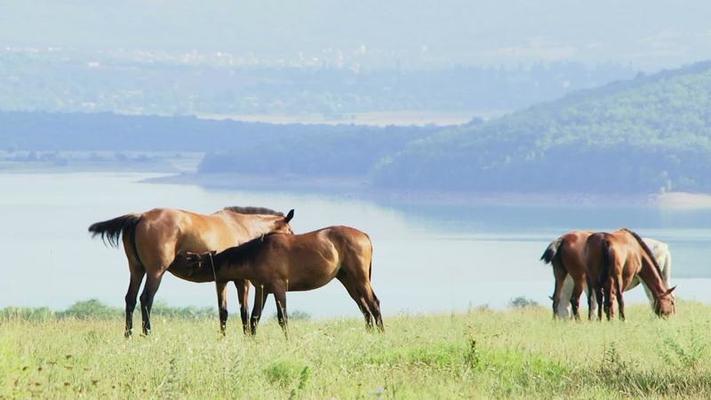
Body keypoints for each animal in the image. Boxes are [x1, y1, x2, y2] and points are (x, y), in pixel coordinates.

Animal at [88, 207, 294, 337]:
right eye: (290, 230)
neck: (241, 227)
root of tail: (140, 217)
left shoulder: (221, 281)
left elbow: (223, 311)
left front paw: (223, 337)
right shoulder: (242, 281)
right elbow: (244, 311)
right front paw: (246, 336)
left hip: (137, 269)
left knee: (130, 299)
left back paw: (128, 334)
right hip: (156, 272)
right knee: (146, 299)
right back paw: (147, 333)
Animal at [183, 225, 383, 337]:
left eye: (195, 264)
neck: (257, 253)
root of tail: (364, 235)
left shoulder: (279, 287)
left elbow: (283, 319)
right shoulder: (262, 289)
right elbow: (254, 317)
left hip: (360, 279)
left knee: (373, 304)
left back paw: (381, 334)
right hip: (348, 280)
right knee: (364, 308)